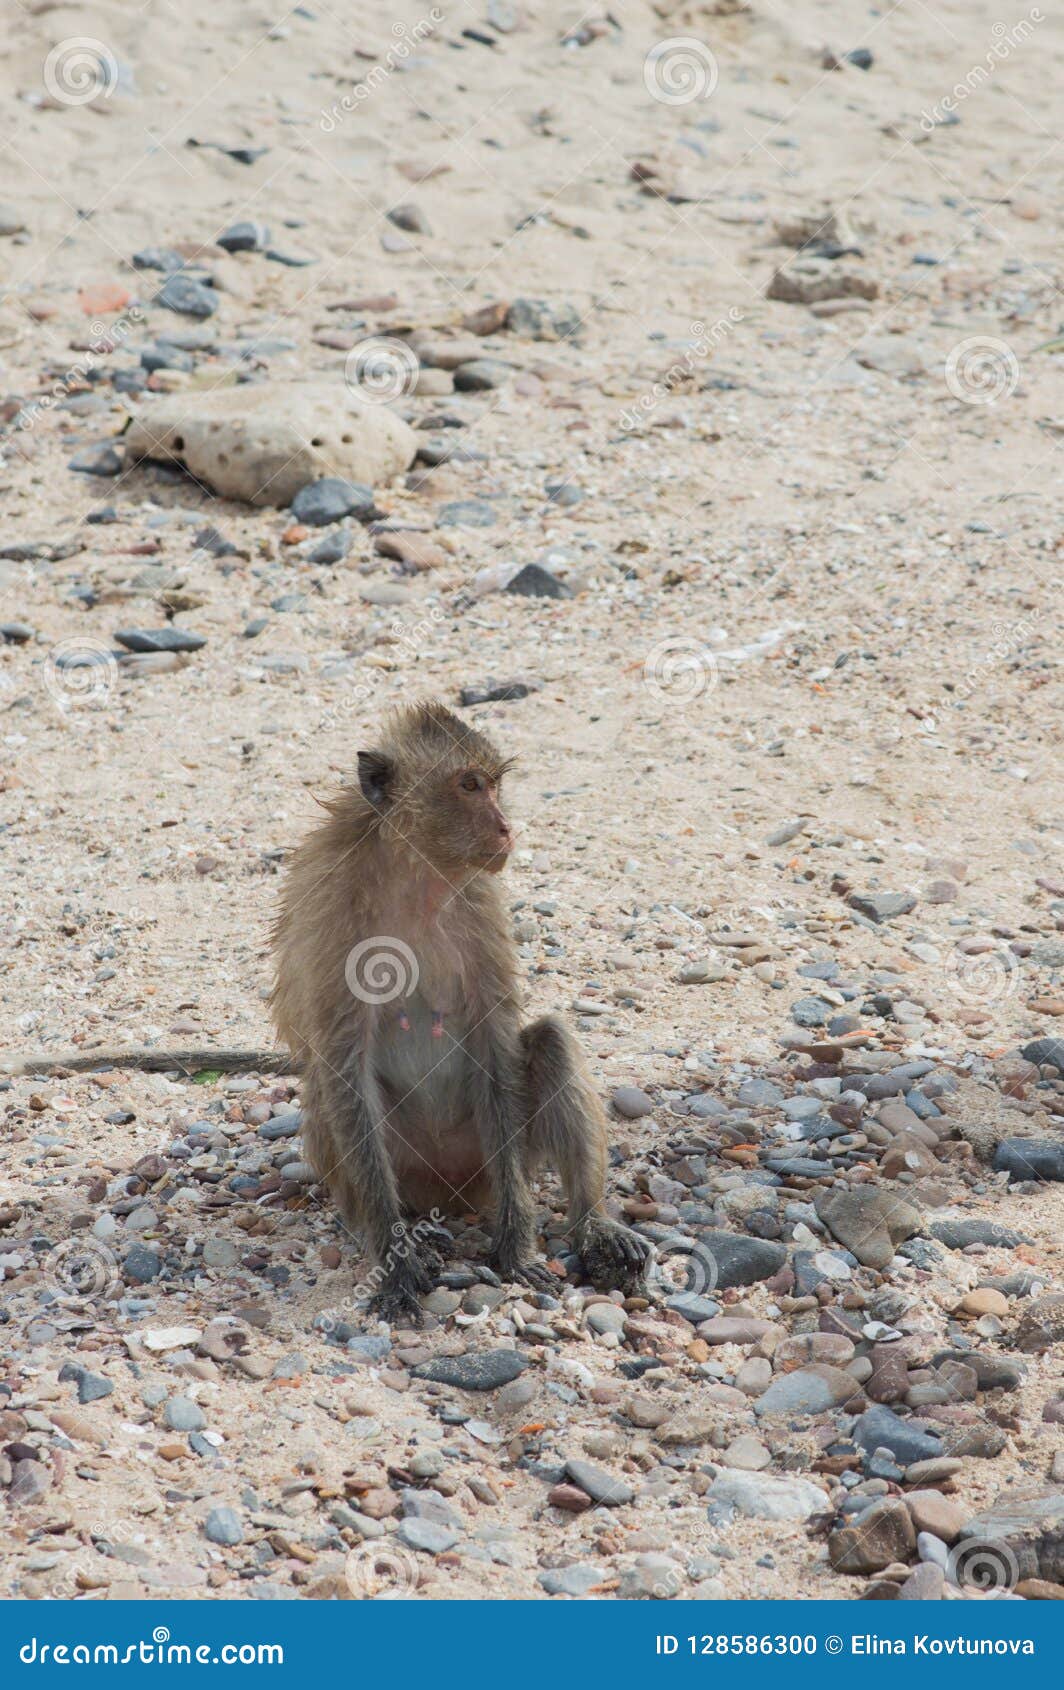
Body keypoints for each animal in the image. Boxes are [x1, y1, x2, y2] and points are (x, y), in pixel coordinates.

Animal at [268, 699, 652, 1322]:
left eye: (494, 783)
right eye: (469, 785)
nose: (506, 828)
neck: (415, 875)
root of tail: (448, 1191)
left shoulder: (480, 904)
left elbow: (494, 1041)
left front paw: (516, 1242)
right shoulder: (332, 910)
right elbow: (343, 1061)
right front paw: (396, 1262)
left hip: (487, 1161)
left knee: (549, 1041)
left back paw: (592, 1225)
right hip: (405, 1169)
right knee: (328, 1089)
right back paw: (393, 1233)